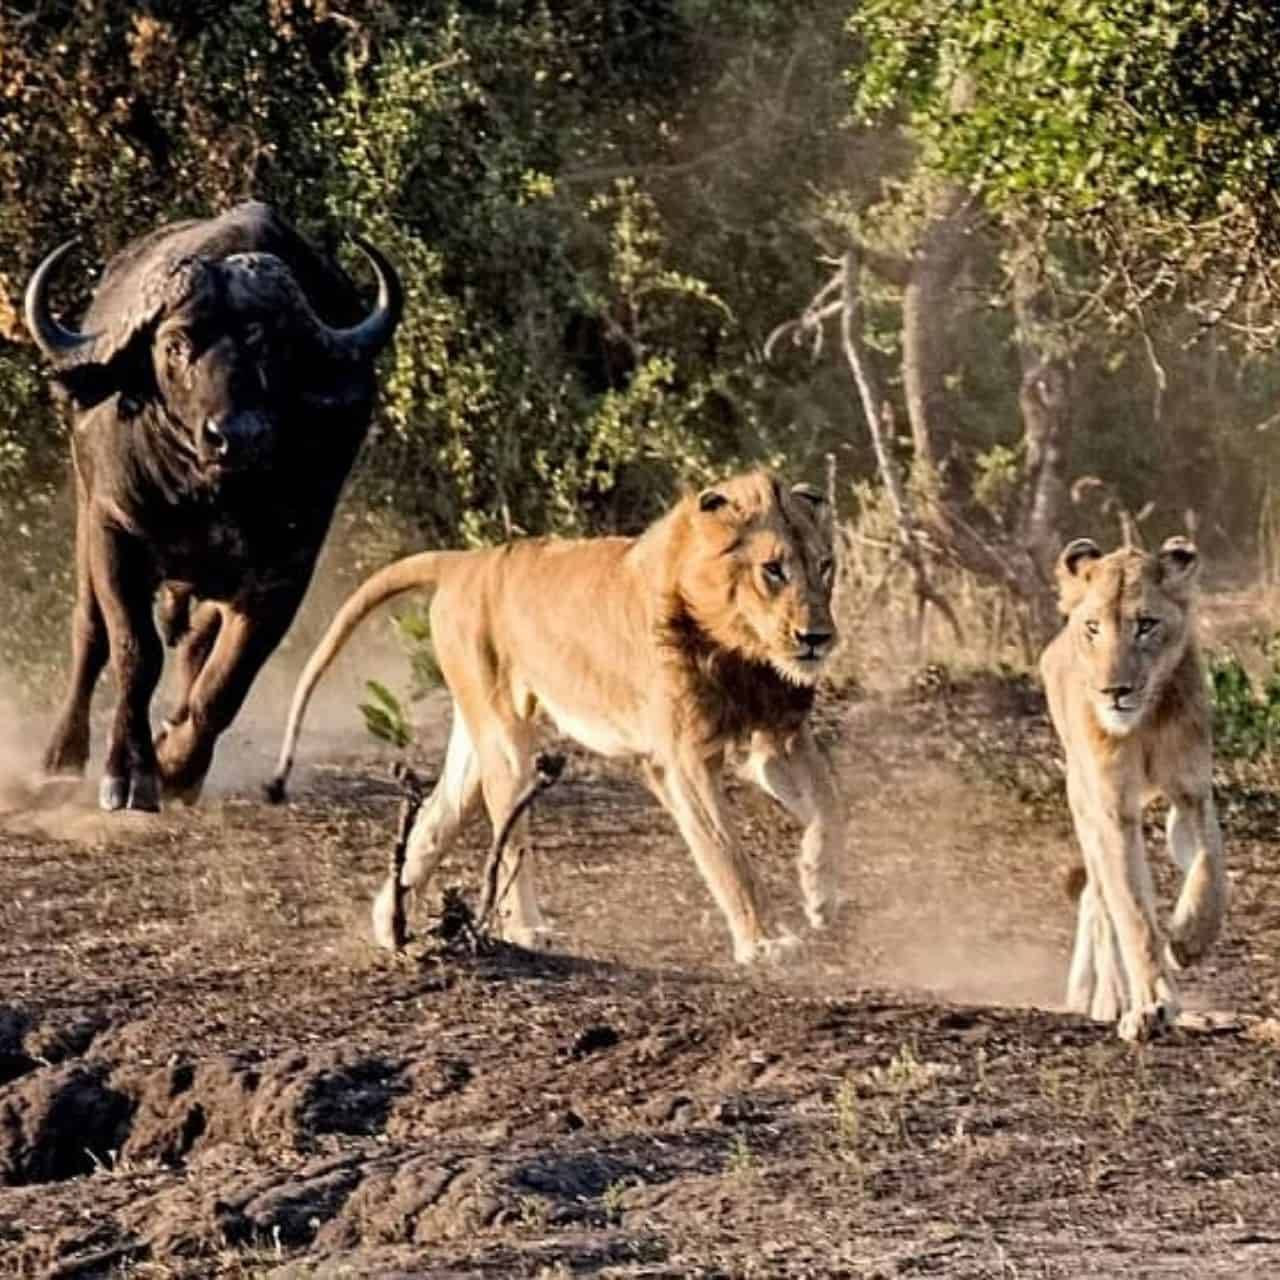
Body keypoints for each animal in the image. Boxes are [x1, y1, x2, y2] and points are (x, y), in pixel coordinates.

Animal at [24, 201, 402, 811]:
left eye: (268, 345)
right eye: (175, 345)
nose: (236, 436)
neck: (207, 493)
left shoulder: (286, 567)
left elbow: (227, 678)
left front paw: (178, 766)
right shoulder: (113, 530)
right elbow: (133, 652)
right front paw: (130, 774)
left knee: (196, 649)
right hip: (86, 518)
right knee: (91, 633)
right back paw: (62, 756)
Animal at [267, 471, 847, 964]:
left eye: (825, 567)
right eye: (773, 569)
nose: (817, 638)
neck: (741, 649)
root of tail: (465, 561)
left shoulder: (775, 738)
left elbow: (829, 806)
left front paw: (822, 891)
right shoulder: (680, 759)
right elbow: (728, 855)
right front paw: (764, 943)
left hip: (473, 742)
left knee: (436, 814)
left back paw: (391, 921)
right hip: (505, 741)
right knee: (509, 838)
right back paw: (524, 928)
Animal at [1040, 534, 1226, 1041]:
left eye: (1146, 625)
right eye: (1093, 628)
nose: (1114, 692)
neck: (1144, 723)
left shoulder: (1191, 793)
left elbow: (1211, 870)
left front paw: (1188, 939)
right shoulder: (1111, 810)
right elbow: (1133, 915)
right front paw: (1152, 1006)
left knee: (1092, 895)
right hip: (1081, 799)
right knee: (1101, 901)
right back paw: (1106, 999)